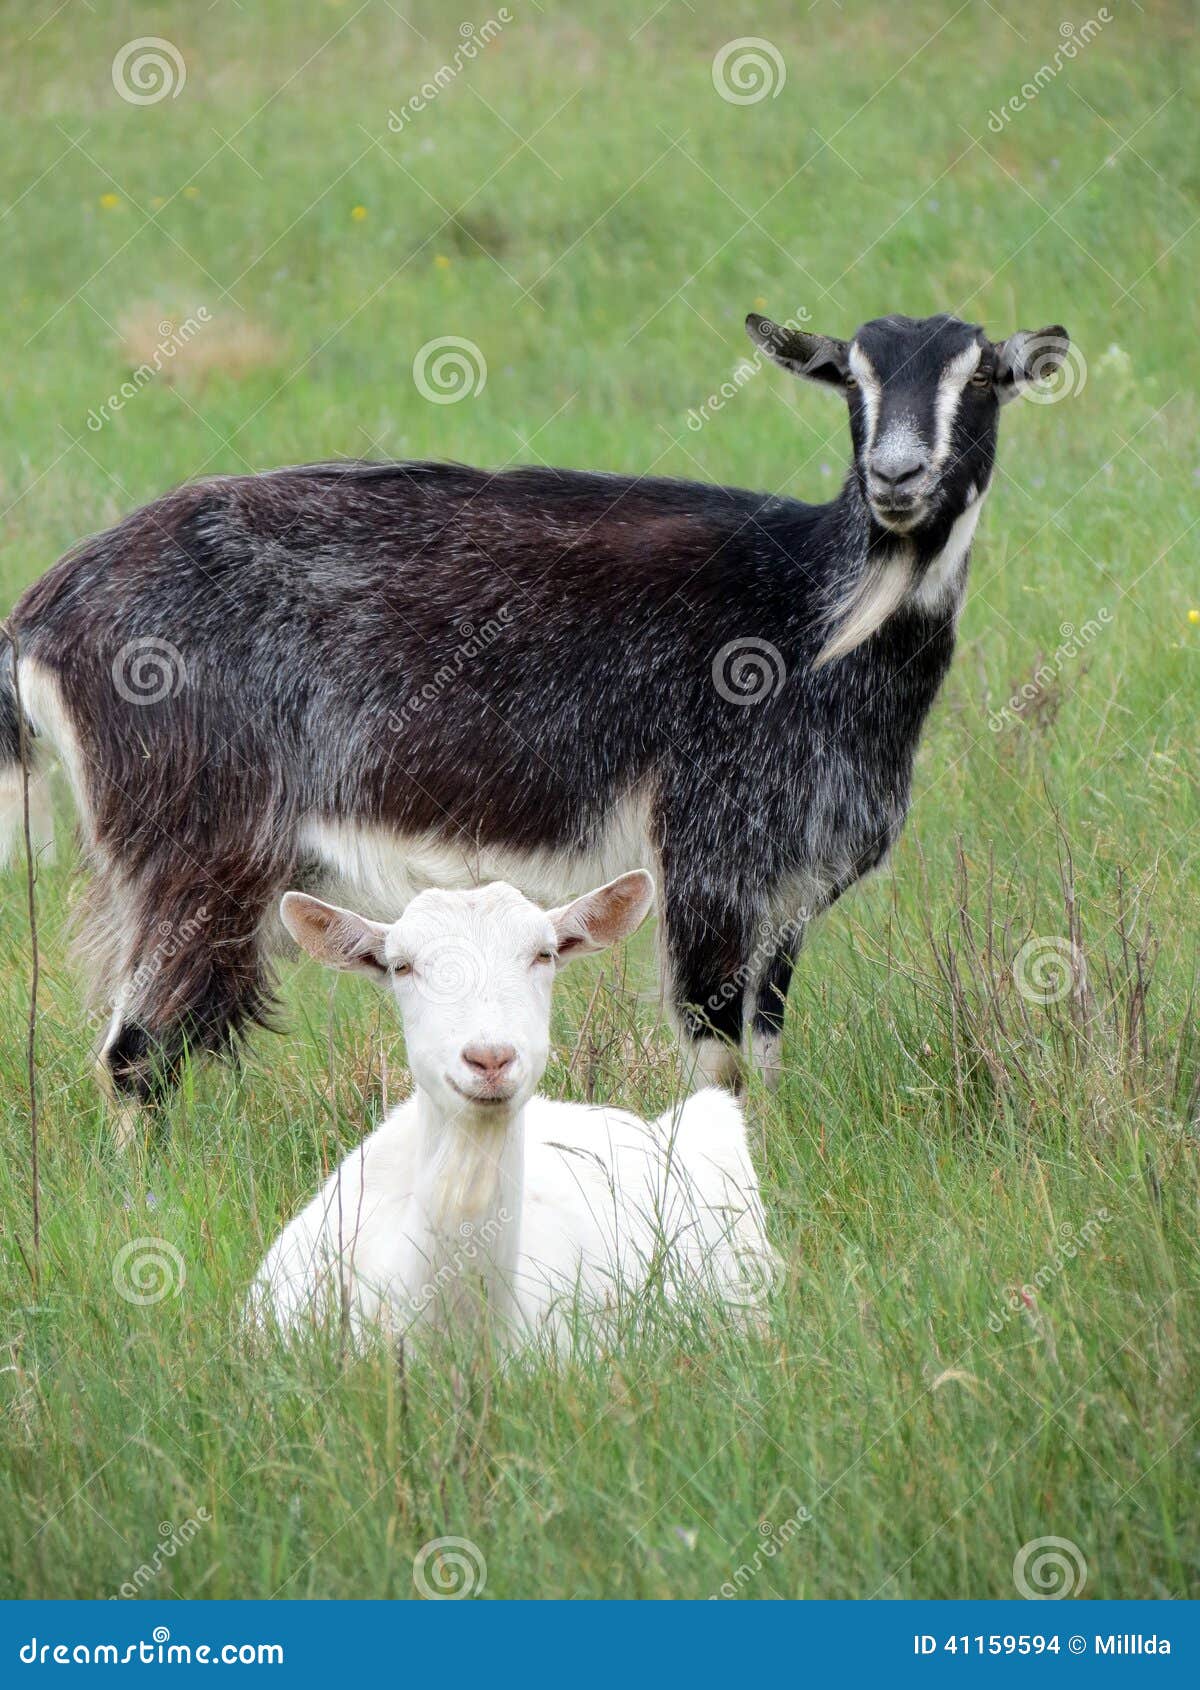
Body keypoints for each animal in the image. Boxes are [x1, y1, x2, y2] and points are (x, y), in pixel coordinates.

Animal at [0, 308, 1068, 1117]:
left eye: (984, 378)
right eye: (850, 379)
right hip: (197, 846)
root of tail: (44, 612)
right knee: (138, 1051)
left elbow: (763, 1046)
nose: (897, 477)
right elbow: (717, 1051)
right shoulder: (713, 848)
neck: (812, 611)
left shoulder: (796, 878)